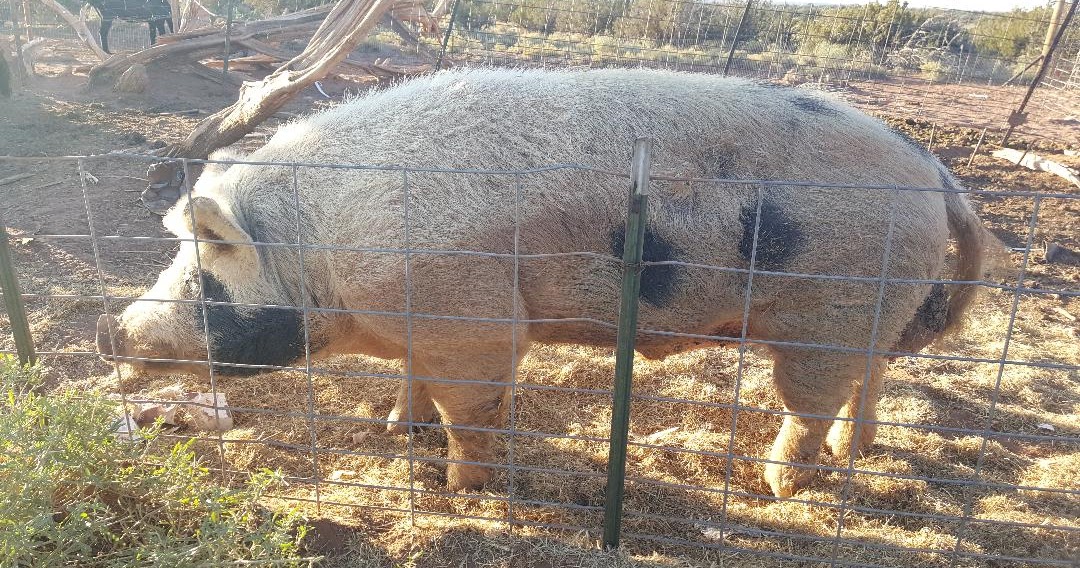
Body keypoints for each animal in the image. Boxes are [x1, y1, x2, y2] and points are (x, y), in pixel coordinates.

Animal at [97, 67, 990, 498]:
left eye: (205, 274)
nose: (112, 333)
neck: (316, 249)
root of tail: (933, 171)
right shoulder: (419, 323)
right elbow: (415, 384)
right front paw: (393, 430)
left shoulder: (471, 317)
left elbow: (472, 412)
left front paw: (463, 488)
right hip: (874, 305)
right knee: (872, 378)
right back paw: (857, 451)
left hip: (831, 308)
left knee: (811, 401)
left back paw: (777, 487)